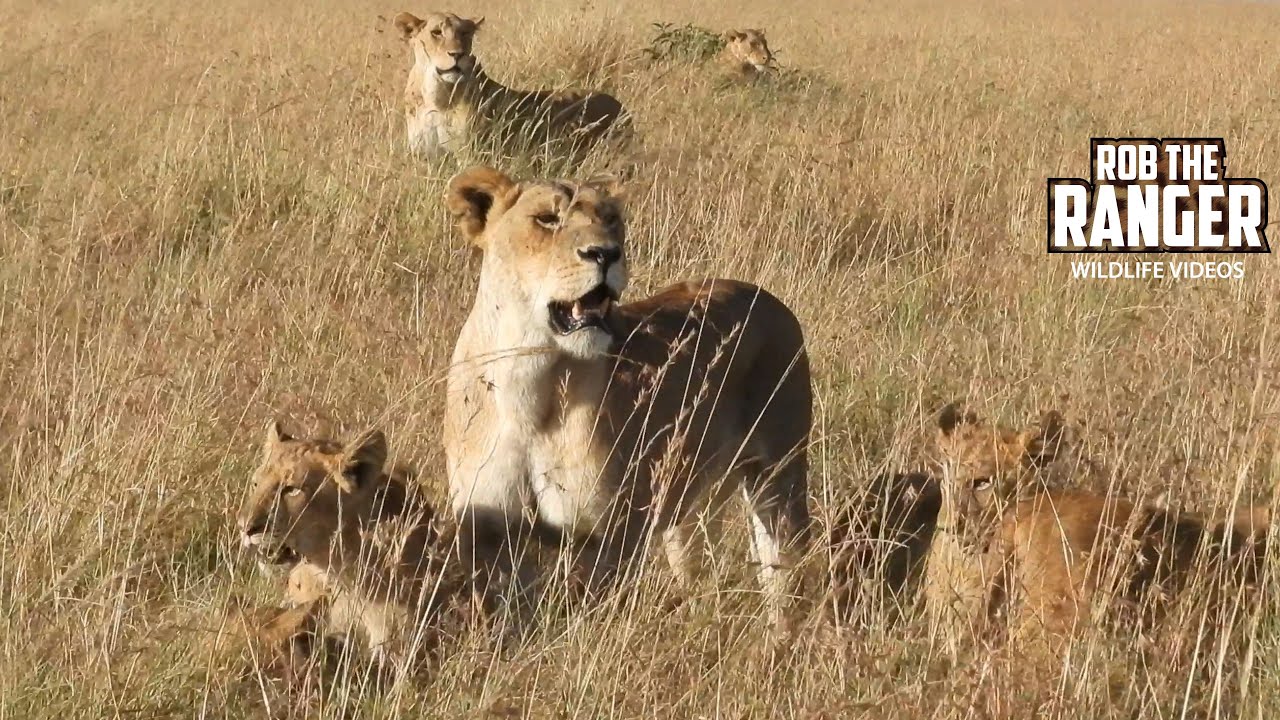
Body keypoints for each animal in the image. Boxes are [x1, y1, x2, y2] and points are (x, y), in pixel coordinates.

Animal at [392, 11, 625, 159]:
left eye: (465, 33)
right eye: (436, 32)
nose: (457, 54)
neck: (436, 95)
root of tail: (621, 106)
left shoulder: (473, 156)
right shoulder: (426, 157)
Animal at [441, 165, 812, 633]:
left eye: (610, 220)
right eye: (547, 219)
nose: (605, 254)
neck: (528, 380)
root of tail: (766, 297)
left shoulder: (606, 538)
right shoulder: (483, 530)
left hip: (779, 478)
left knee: (782, 570)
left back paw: (782, 635)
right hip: (685, 498)